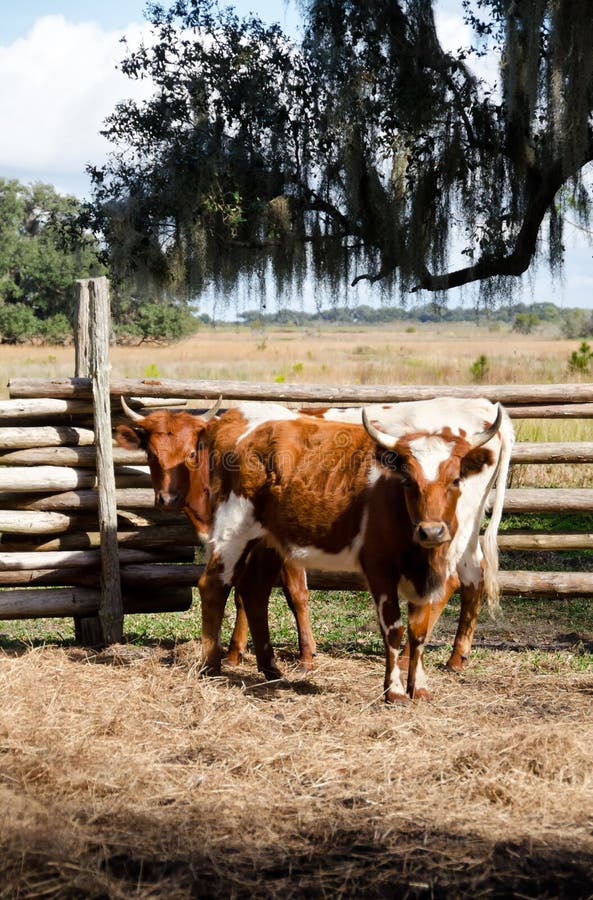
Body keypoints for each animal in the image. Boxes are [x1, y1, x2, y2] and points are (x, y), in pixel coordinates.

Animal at [115, 398, 316, 676]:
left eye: (191, 453)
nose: (169, 499)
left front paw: (306, 657)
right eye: (152, 454)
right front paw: (234, 653)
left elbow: (296, 593)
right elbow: (241, 594)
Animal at [198, 398, 514, 702]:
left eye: (456, 480)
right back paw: (211, 666)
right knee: (214, 584)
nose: (432, 531)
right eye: (409, 480)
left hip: (267, 540)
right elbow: (394, 628)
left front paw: (420, 688)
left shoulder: (428, 570)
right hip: (233, 529)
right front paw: (394, 691)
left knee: (254, 591)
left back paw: (270, 669)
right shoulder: (379, 567)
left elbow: (419, 630)